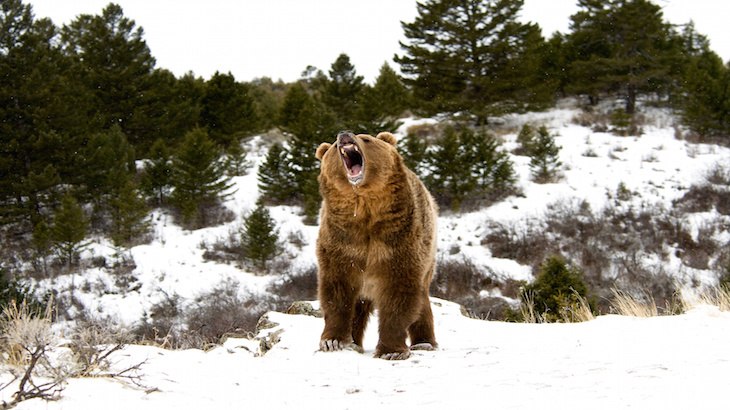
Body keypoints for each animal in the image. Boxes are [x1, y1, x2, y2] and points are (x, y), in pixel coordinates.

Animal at [315, 130, 438, 360]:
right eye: (334, 146)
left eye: (366, 138)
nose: (344, 134)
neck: (364, 206)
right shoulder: (342, 241)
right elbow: (337, 291)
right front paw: (332, 341)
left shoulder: (397, 240)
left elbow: (398, 294)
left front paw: (391, 350)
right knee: (358, 307)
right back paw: (354, 341)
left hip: (428, 255)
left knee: (422, 302)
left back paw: (424, 343)